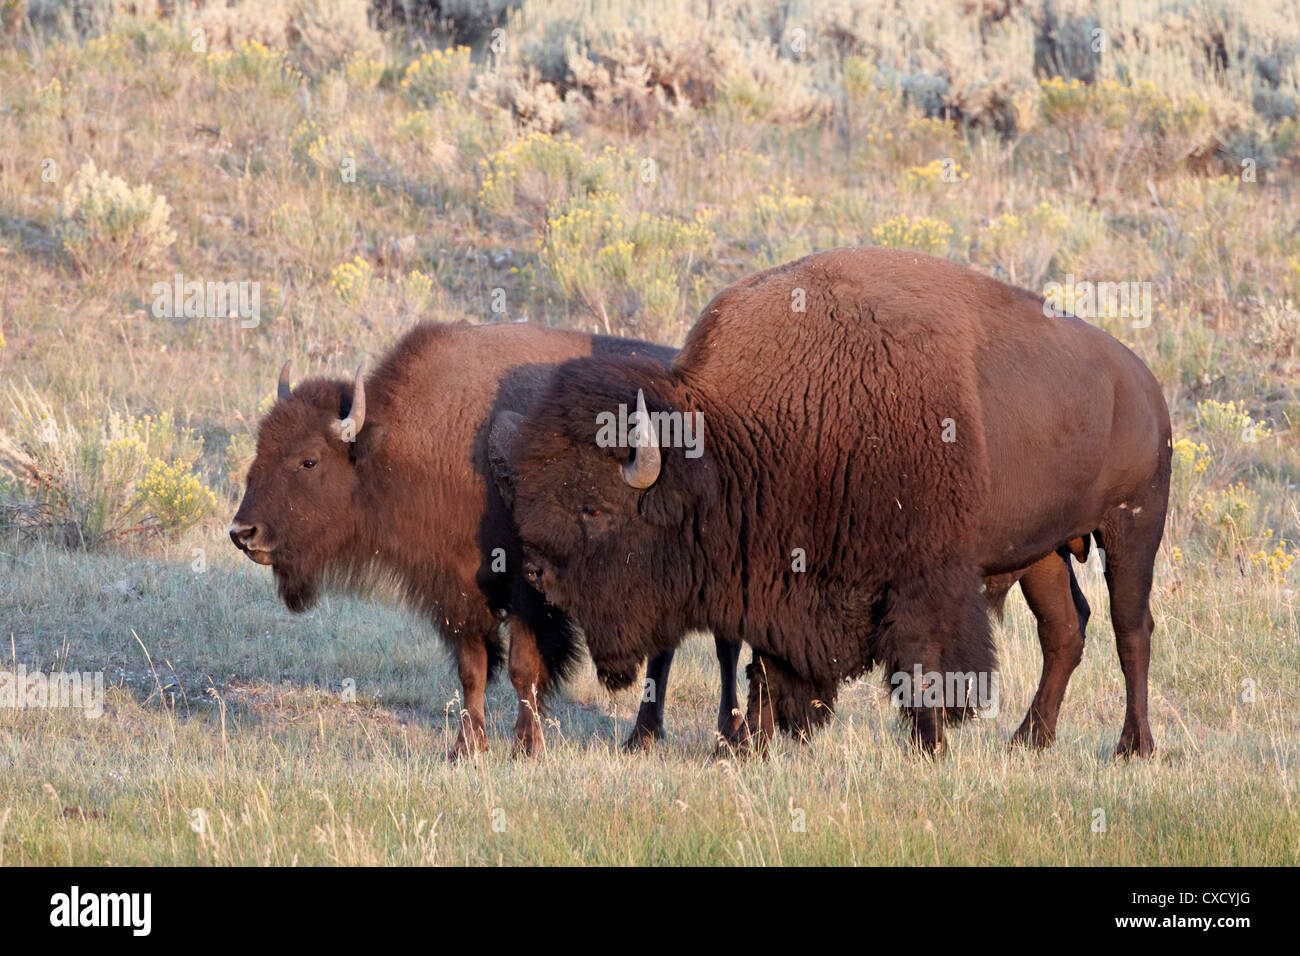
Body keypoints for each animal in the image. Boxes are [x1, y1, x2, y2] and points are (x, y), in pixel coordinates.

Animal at [490, 248, 1171, 756]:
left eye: (595, 509)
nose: (536, 572)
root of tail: (1143, 382)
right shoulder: (777, 580)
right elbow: (766, 667)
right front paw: (750, 746)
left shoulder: (923, 578)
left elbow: (923, 662)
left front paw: (929, 748)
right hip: (1044, 553)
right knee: (1065, 631)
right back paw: (1030, 738)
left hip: (1132, 527)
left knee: (1130, 630)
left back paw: (1133, 747)